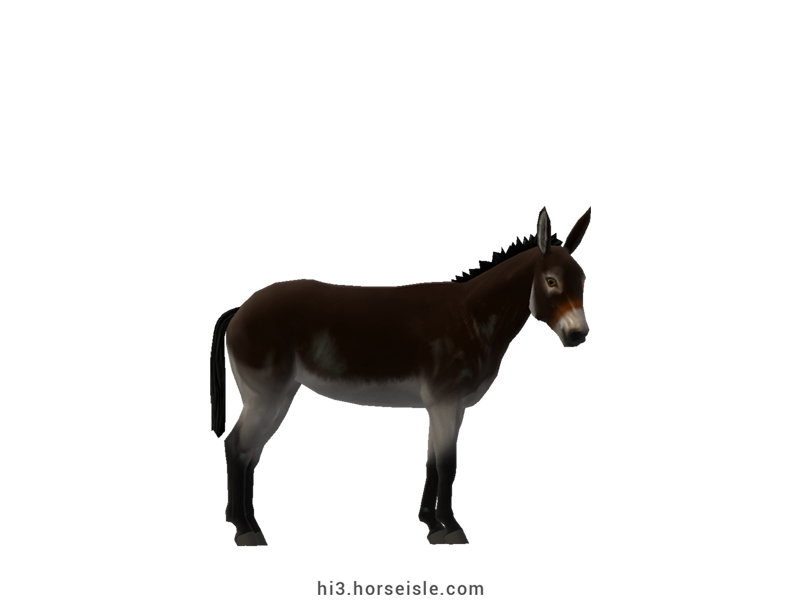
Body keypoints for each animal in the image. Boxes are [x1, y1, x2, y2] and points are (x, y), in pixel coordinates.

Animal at [211, 210, 589, 546]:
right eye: (551, 280)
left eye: (581, 277)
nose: (577, 335)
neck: (472, 317)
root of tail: (242, 310)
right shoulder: (444, 400)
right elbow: (447, 463)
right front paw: (452, 528)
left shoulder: (443, 404)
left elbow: (434, 461)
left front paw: (432, 525)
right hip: (265, 394)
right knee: (238, 448)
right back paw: (245, 532)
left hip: (252, 396)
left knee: (240, 449)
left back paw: (242, 524)